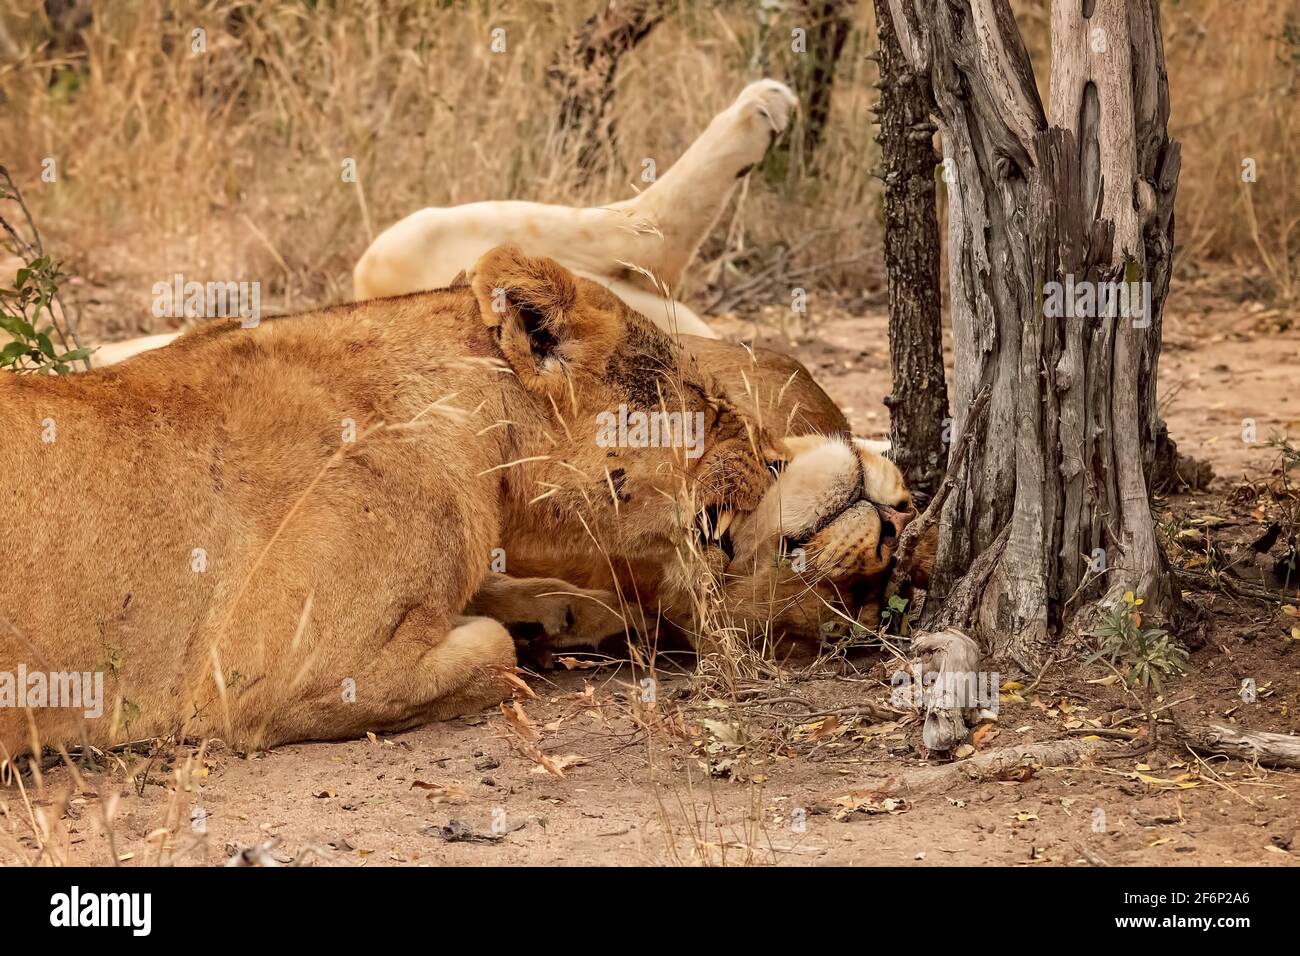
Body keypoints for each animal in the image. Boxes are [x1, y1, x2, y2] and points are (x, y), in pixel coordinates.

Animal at [0, 246, 781, 762]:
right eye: (702, 398)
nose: (776, 458)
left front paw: (568, 612)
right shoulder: (274, 673)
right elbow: (492, 648)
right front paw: (522, 634)